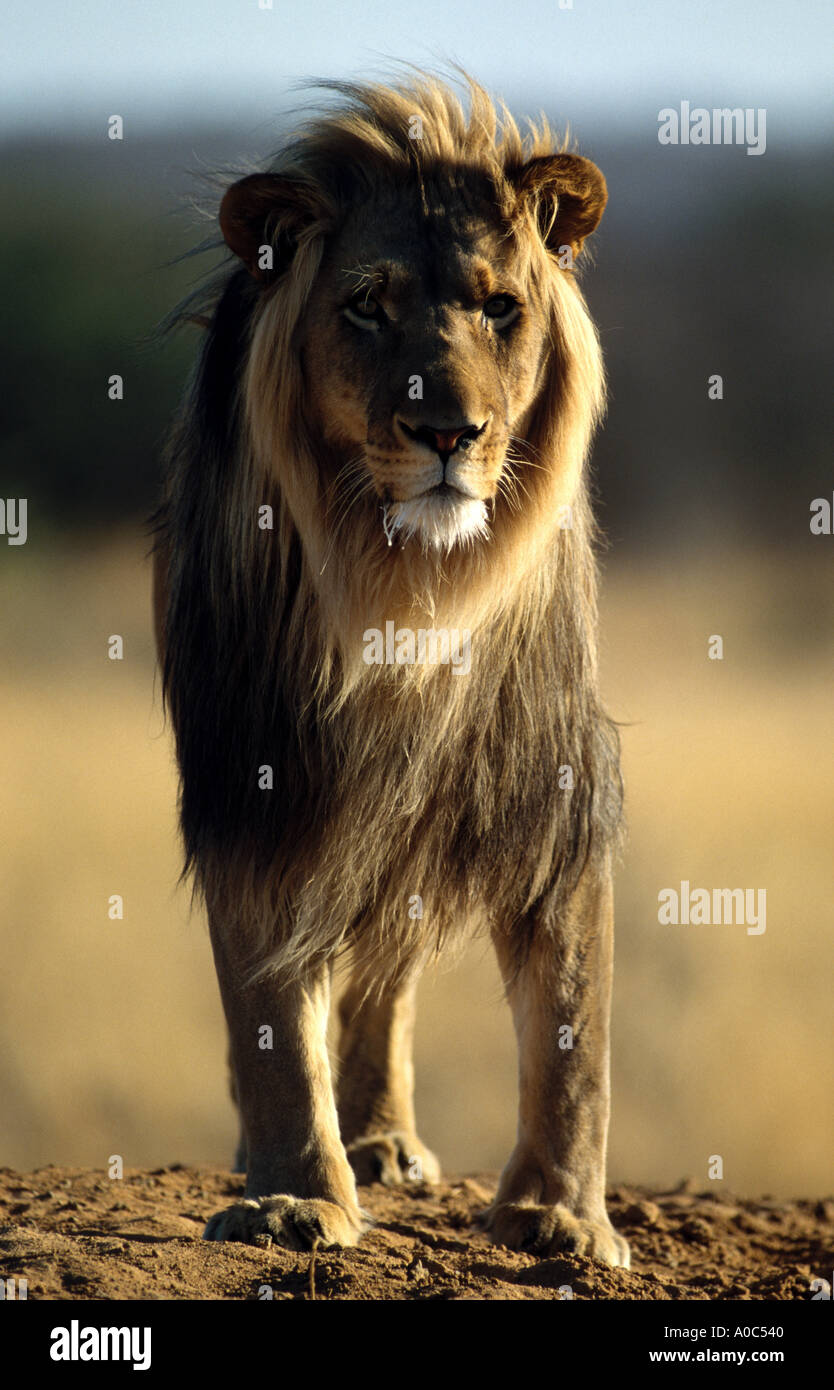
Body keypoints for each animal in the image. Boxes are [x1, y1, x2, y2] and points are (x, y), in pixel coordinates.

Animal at [152, 71, 629, 1268]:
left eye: (499, 307)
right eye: (367, 304)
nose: (448, 431)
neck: (403, 581)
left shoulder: (548, 784)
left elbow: (574, 1028)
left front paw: (562, 1214)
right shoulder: (260, 783)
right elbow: (272, 1021)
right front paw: (292, 1197)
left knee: (388, 965)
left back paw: (381, 1138)